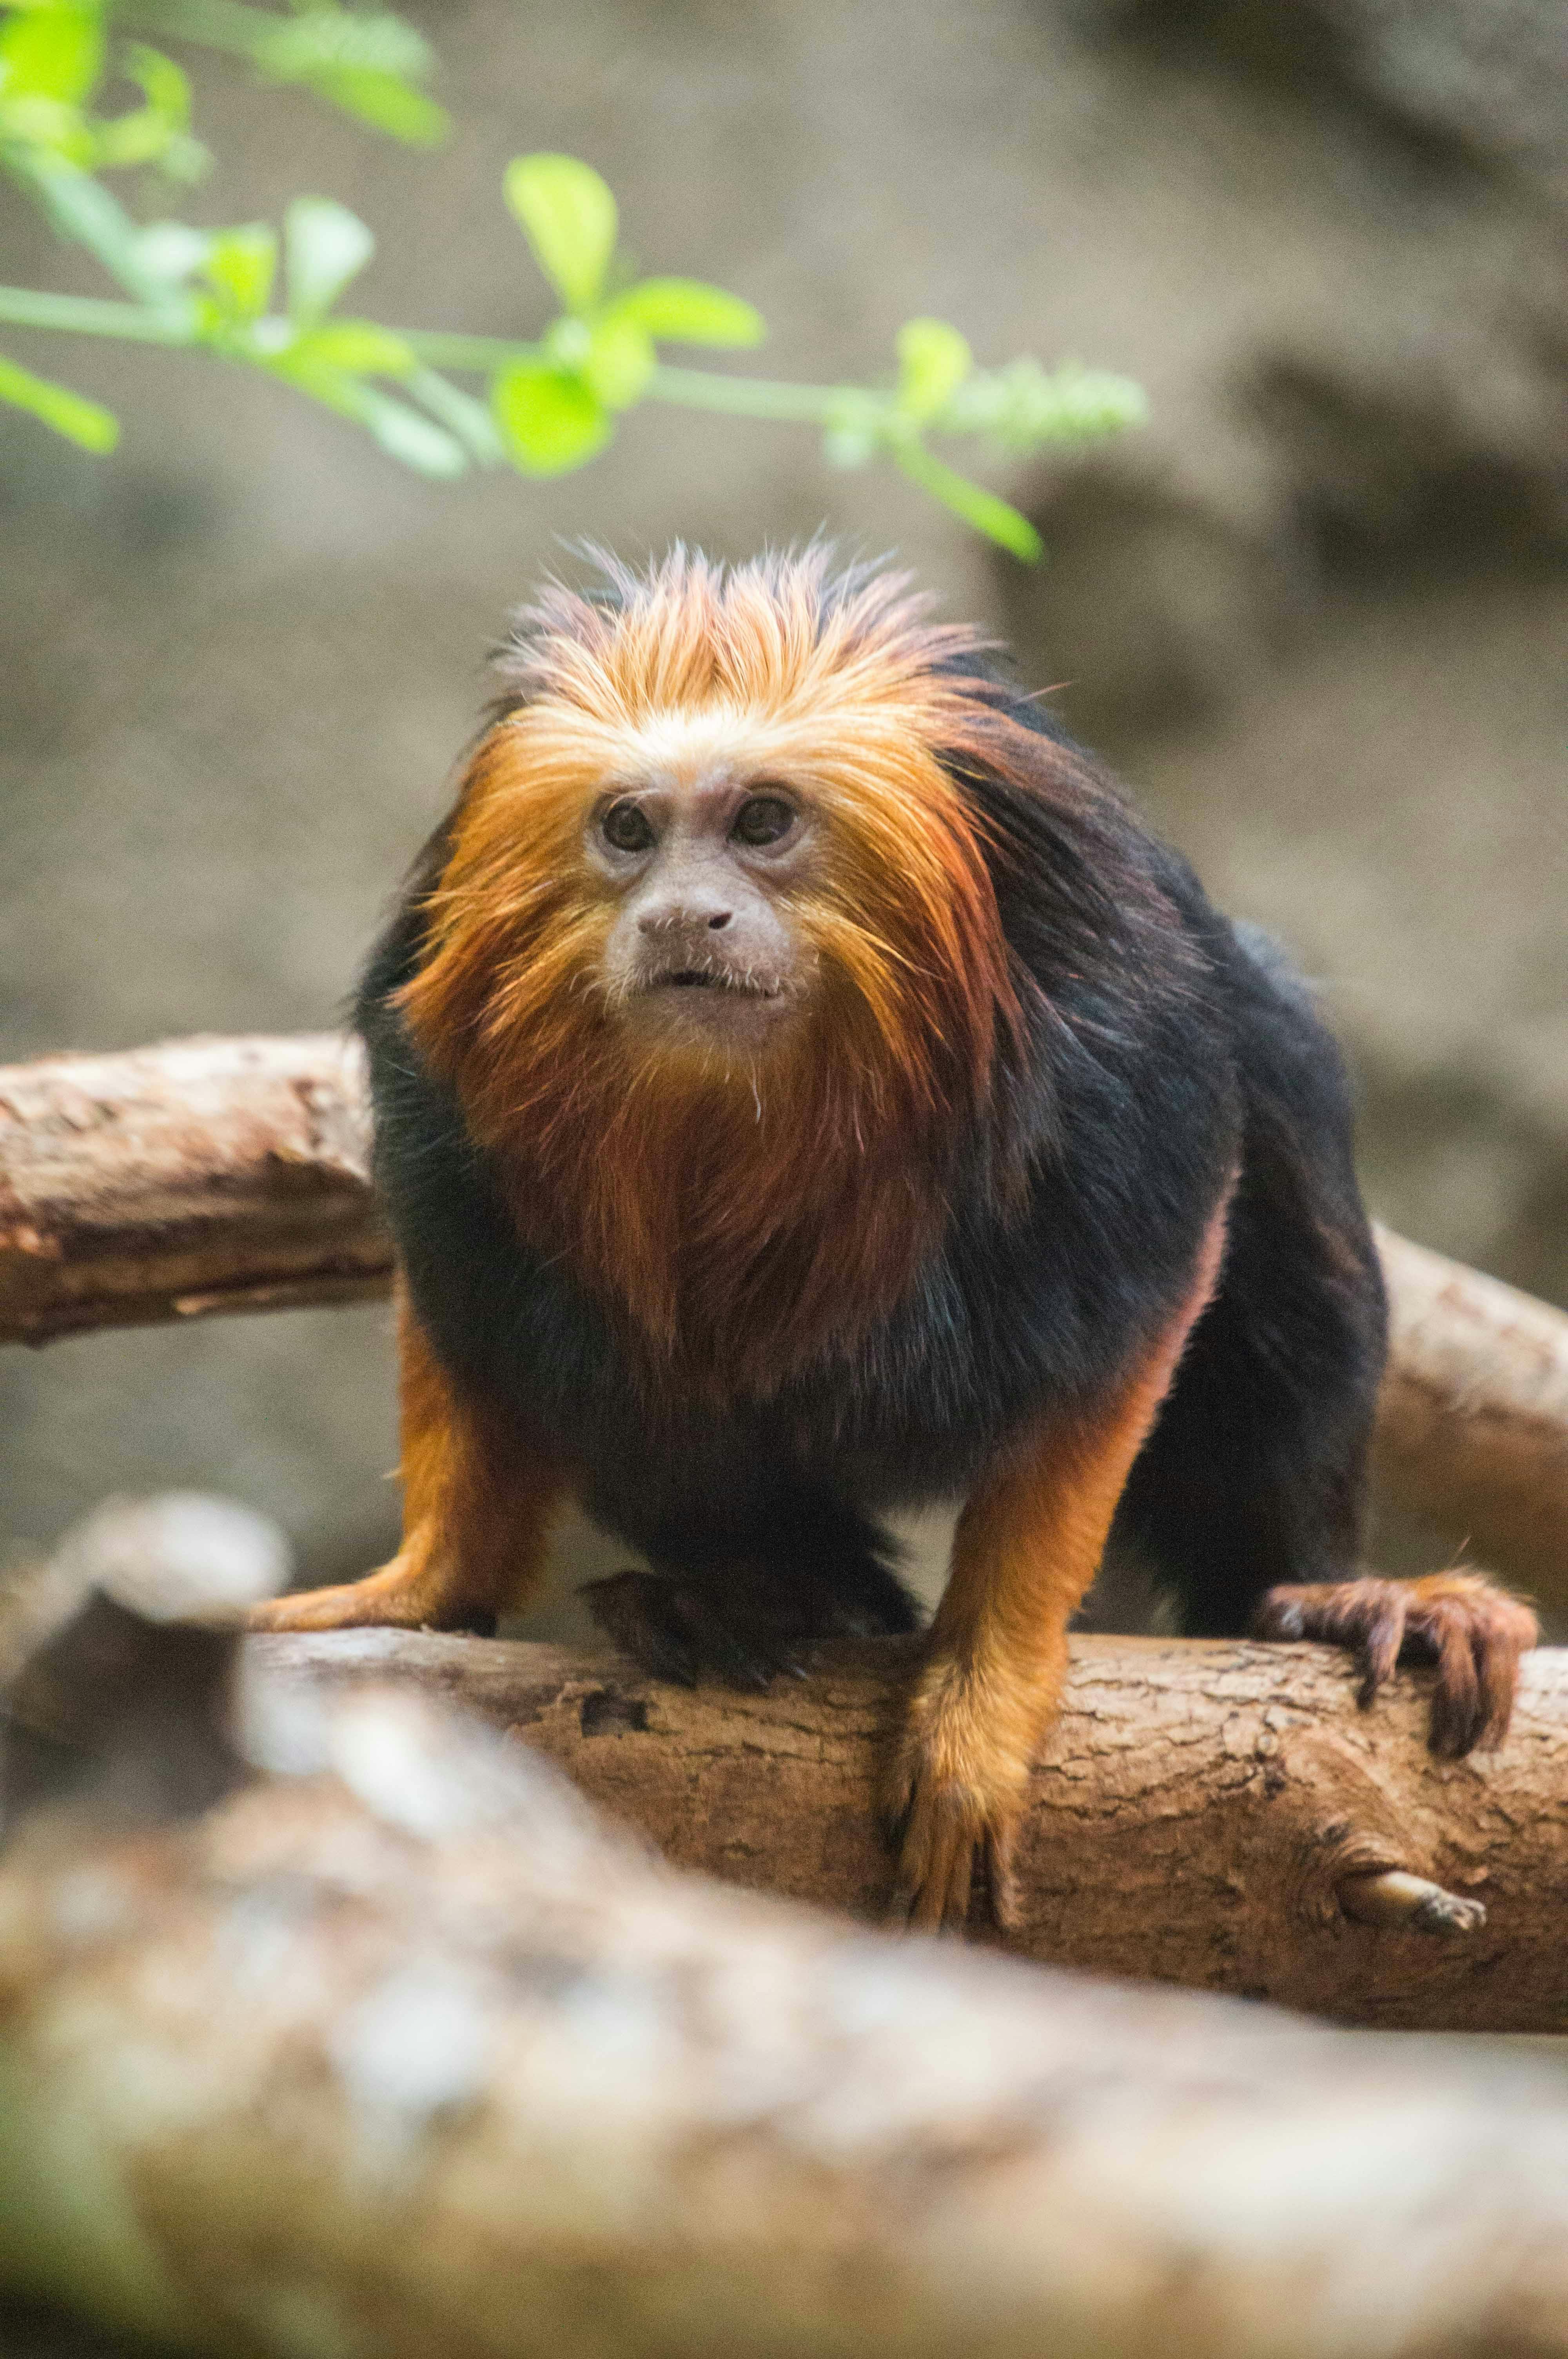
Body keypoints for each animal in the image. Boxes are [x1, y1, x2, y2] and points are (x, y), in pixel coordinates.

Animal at [248, 548, 1538, 1931]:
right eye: (629, 831)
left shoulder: (1124, 1093)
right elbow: (474, 1328)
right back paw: (755, 1593)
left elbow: (1114, 1362)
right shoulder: (448, 1123)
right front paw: (425, 1581)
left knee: (1286, 1112)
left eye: (763, 822)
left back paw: (1312, 1593)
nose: (684, 917)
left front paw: (981, 1701)